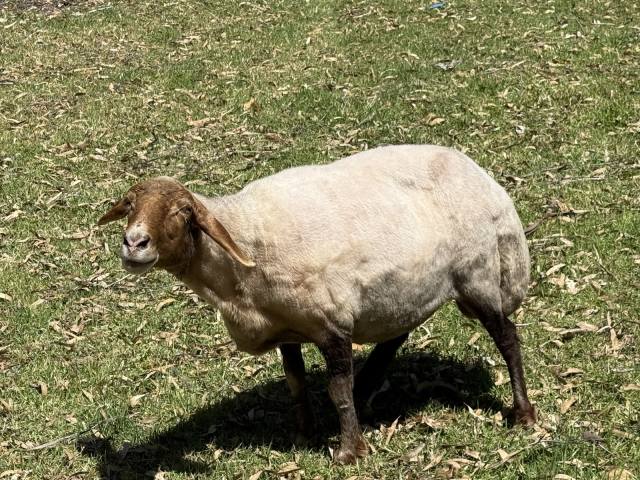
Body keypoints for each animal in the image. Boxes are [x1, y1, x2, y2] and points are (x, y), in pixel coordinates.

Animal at [98, 144, 536, 464]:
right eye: (130, 206)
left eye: (182, 211)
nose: (134, 243)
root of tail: (488, 184)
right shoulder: (287, 327)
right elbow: (295, 381)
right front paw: (303, 433)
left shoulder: (332, 323)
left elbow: (336, 388)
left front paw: (348, 451)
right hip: (407, 286)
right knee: (398, 333)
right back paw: (369, 387)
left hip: (477, 275)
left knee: (508, 338)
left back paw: (523, 414)